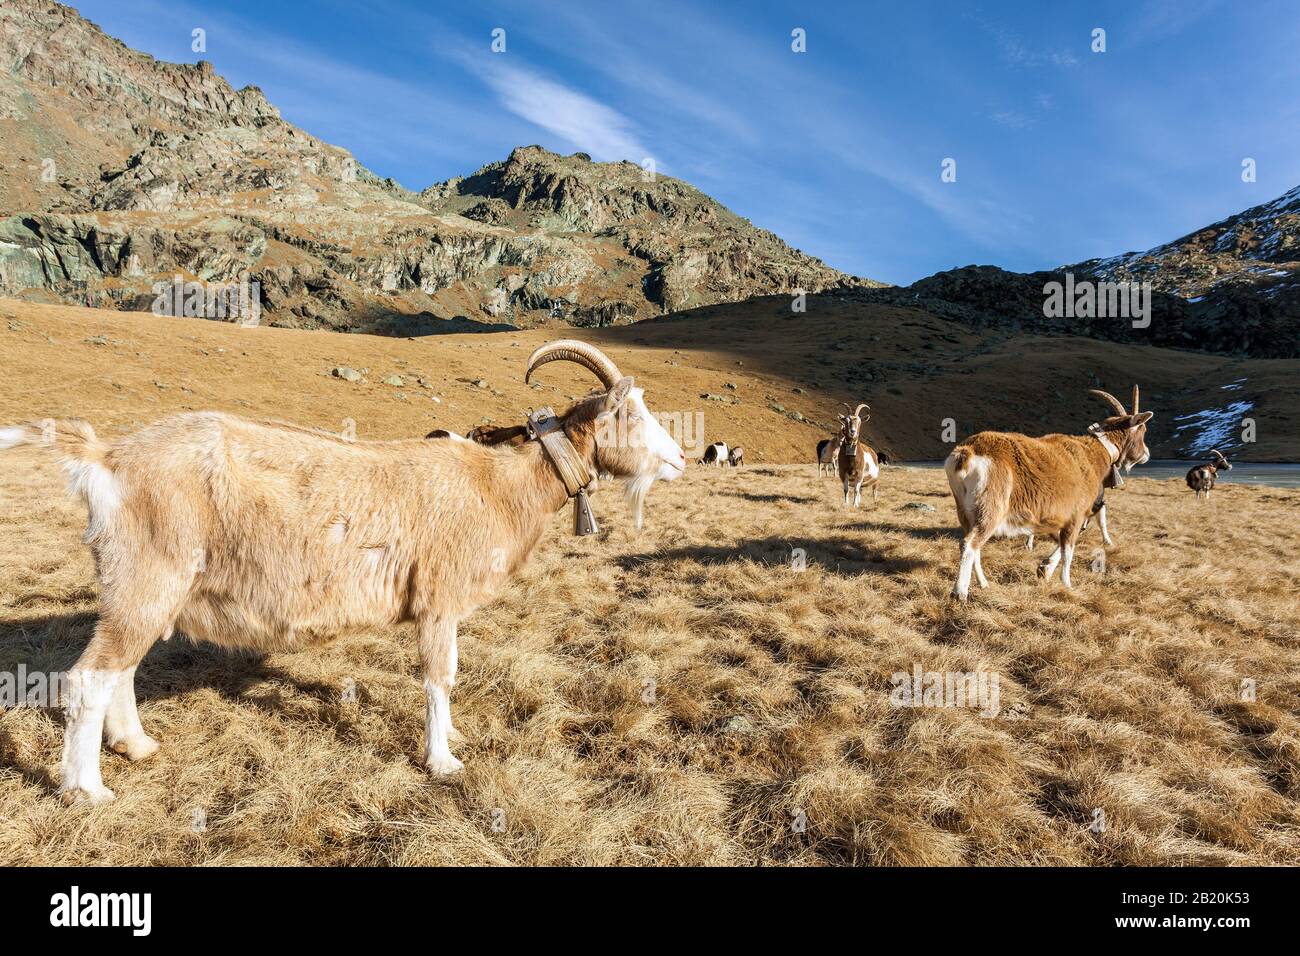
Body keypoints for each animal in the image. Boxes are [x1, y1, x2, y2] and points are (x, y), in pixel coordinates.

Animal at [0, 340, 686, 804]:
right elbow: (440, 677)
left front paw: (452, 740)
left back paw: (135, 745)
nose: (680, 458)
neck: (496, 486)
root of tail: (107, 457)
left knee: (122, 669)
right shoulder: (436, 600)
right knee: (90, 676)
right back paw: (87, 789)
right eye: (630, 415)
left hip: (146, 589)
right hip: (146, 576)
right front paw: (443, 762)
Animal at [945, 385, 1152, 601]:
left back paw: (984, 584)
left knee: (974, 544)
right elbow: (1069, 550)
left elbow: (1062, 544)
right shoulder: (1077, 515)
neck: (1094, 453)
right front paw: (1067, 584)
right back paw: (959, 592)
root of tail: (966, 453)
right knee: (969, 544)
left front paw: (1044, 569)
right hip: (991, 507)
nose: (1146, 454)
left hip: (966, 511)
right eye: (1143, 430)